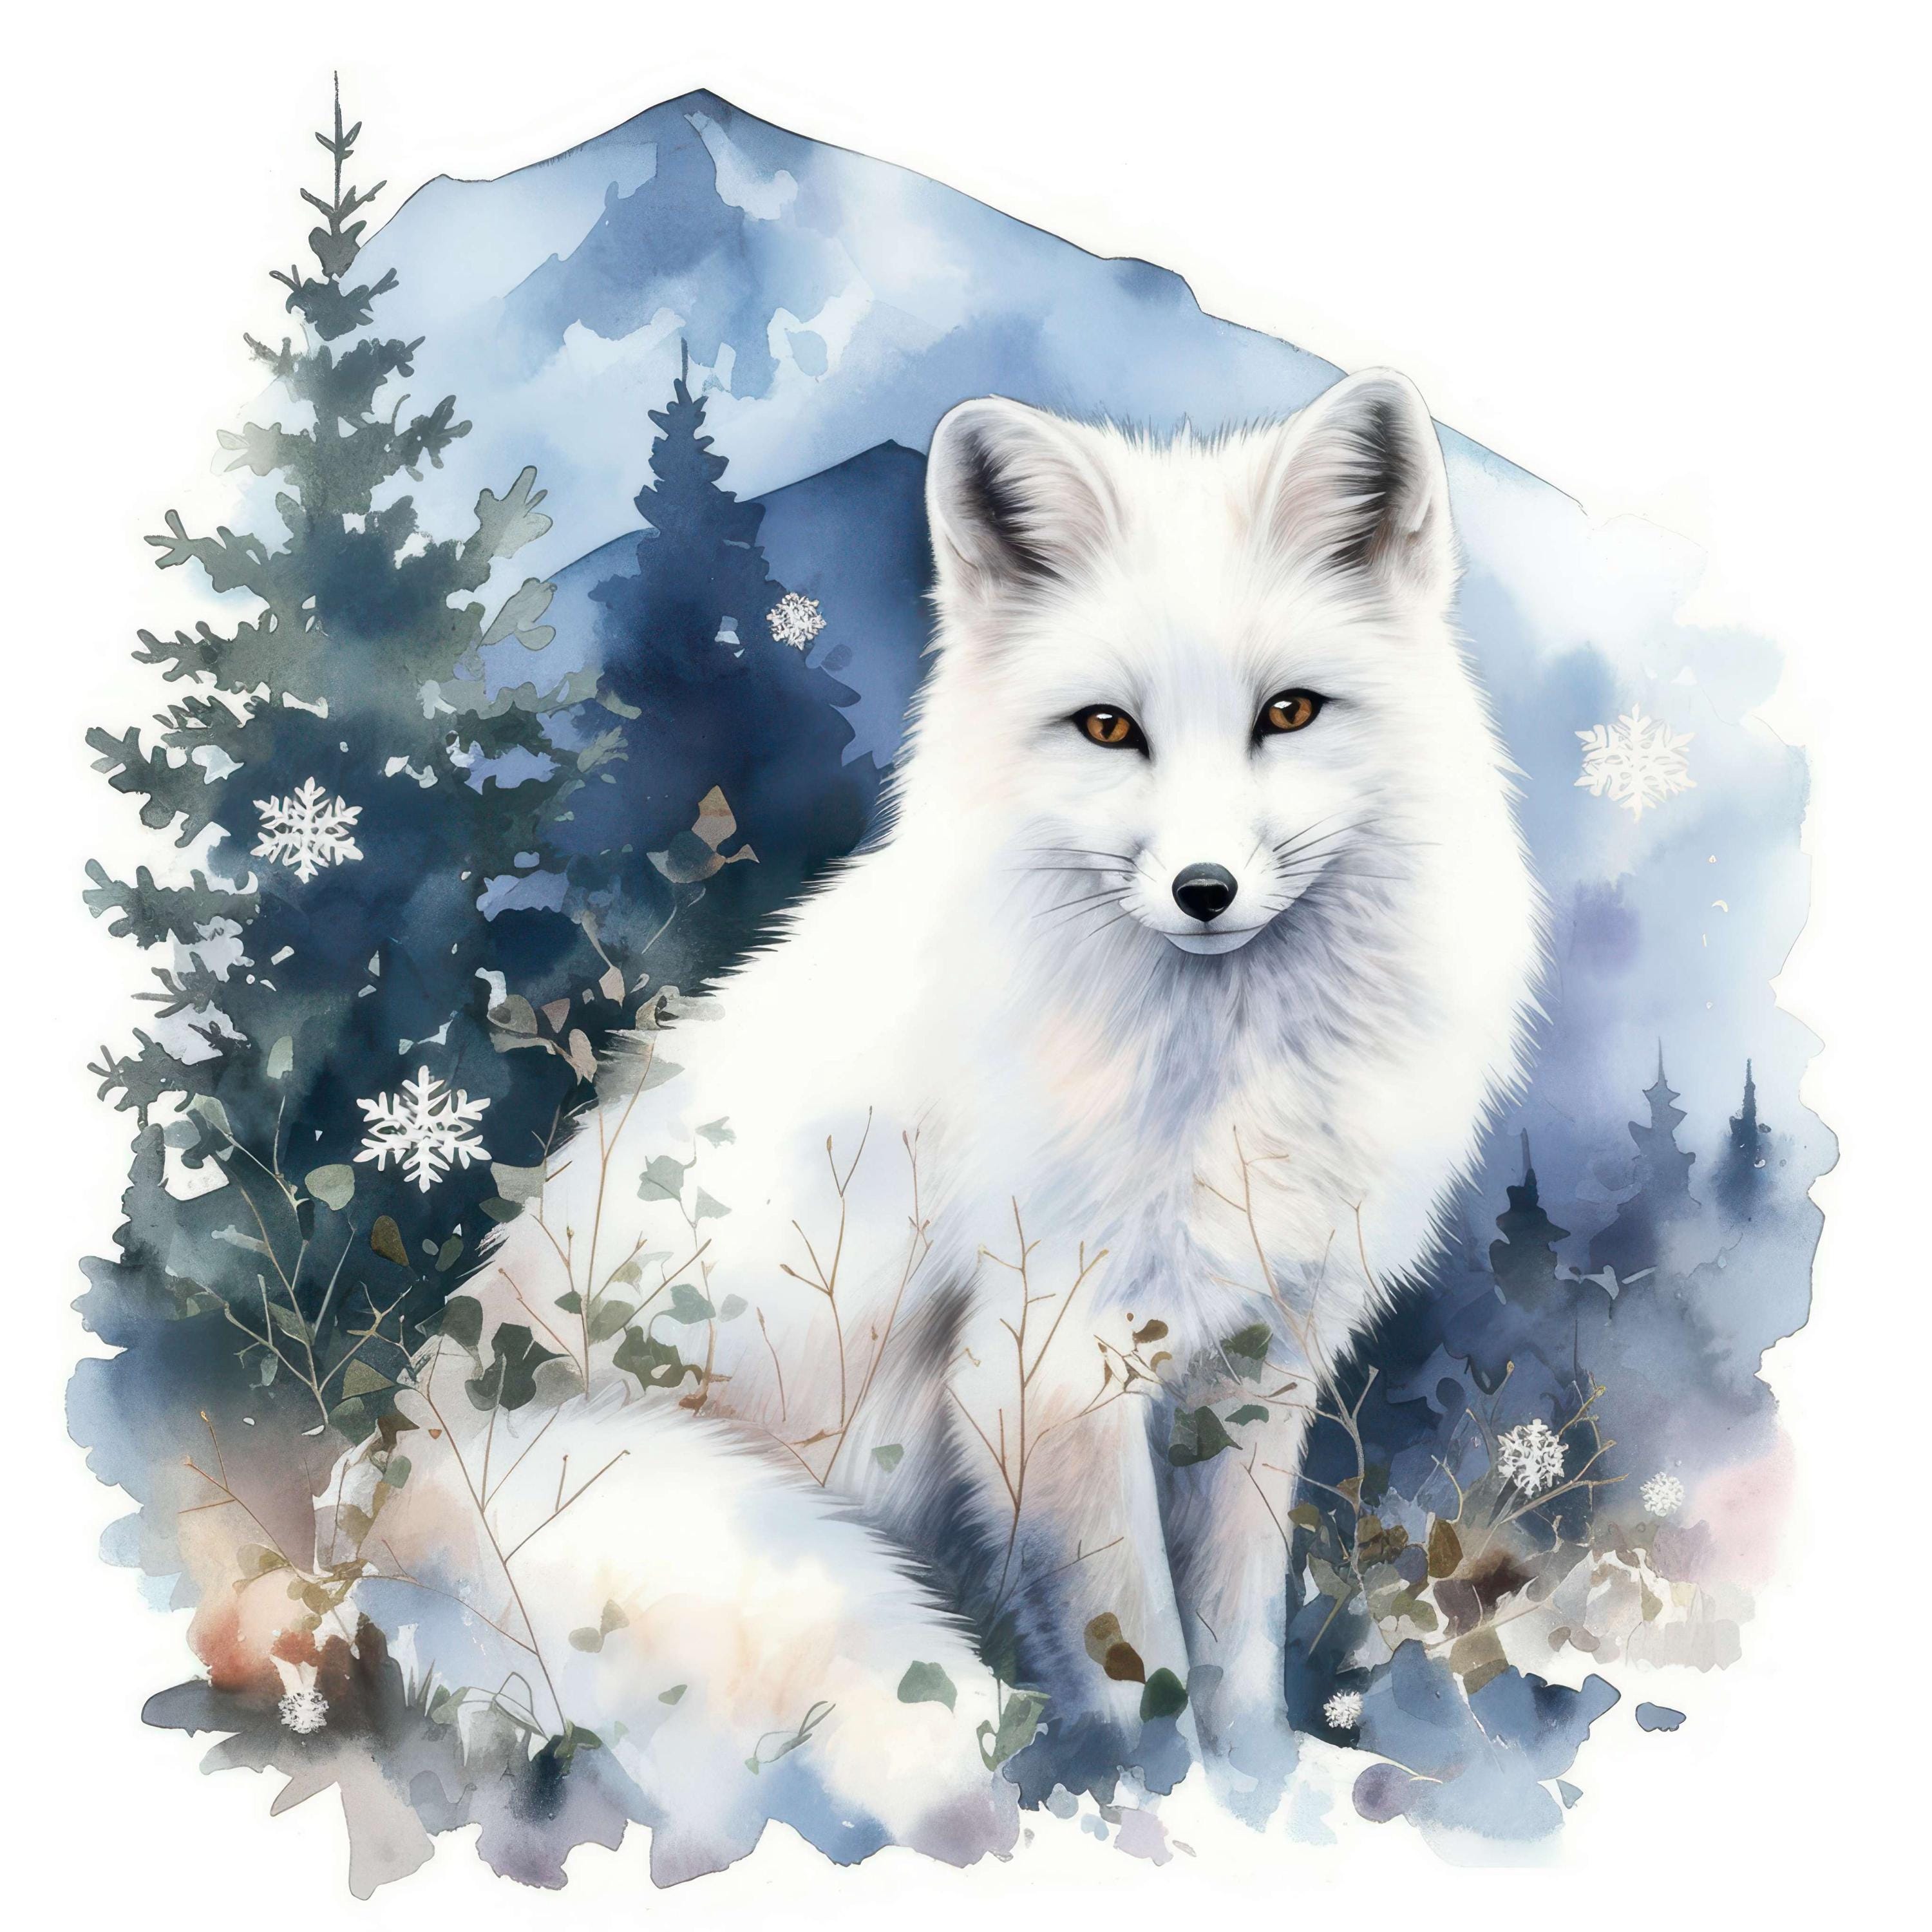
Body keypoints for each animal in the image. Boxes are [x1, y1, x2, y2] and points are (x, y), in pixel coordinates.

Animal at [298, 369, 1540, 1877]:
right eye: (1109, 728)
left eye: (1291, 713)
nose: (1204, 890)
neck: (1223, 1072)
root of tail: (364, 1520)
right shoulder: (1046, 1372)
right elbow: (1143, 1679)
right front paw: (1178, 1828)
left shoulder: (1258, 1375)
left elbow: (1239, 1657)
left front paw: (1263, 1803)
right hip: (865, 1628)